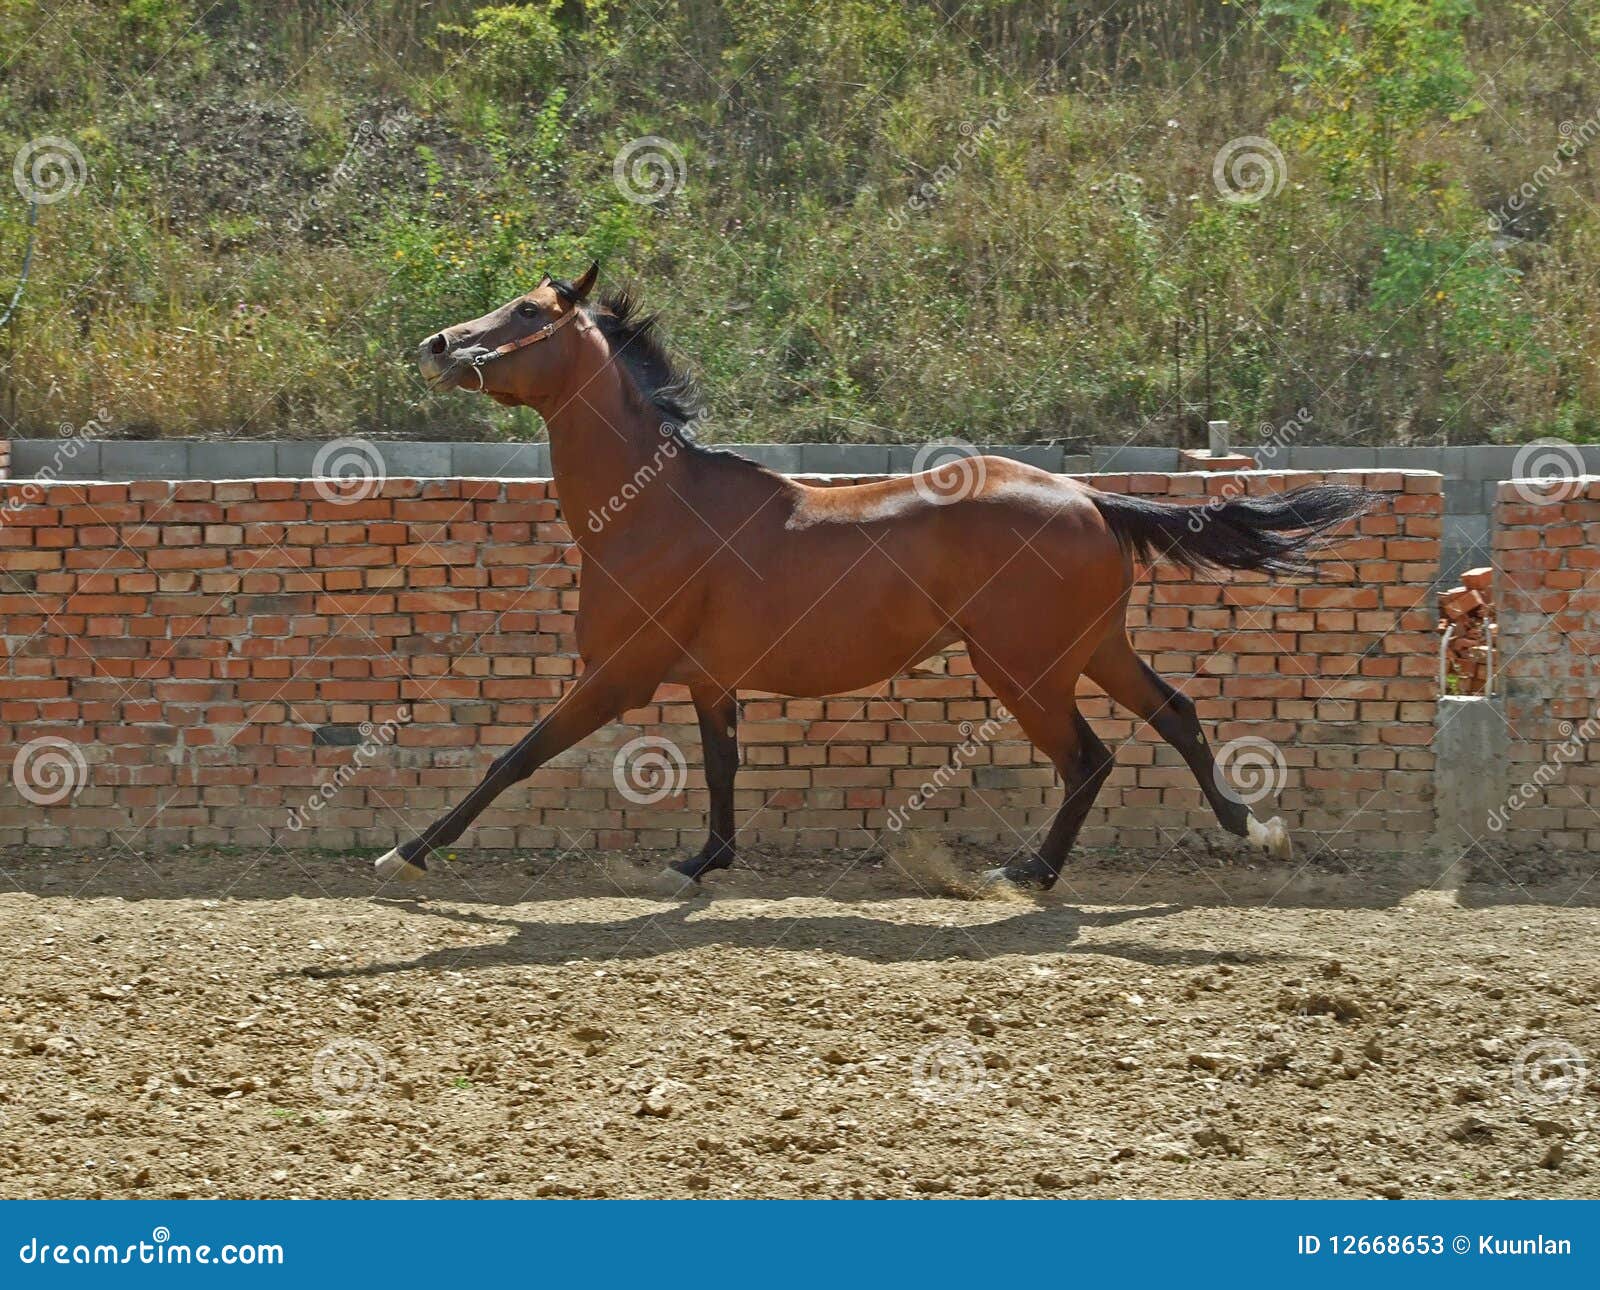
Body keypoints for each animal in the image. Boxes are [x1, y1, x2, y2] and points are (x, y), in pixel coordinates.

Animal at [375, 262, 1375, 891]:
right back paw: (1252, 830)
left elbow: (513, 755)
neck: (651, 507)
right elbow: (723, 770)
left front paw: (409, 853)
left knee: (1089, 757)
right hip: (1091, 649)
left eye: (527, 314)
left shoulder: (617, 676)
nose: (436, 343)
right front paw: (699, 864)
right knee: (1176, 714)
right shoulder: (708, 680)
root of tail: (1090, 496)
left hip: (1023, 669)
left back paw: (1031, 871)